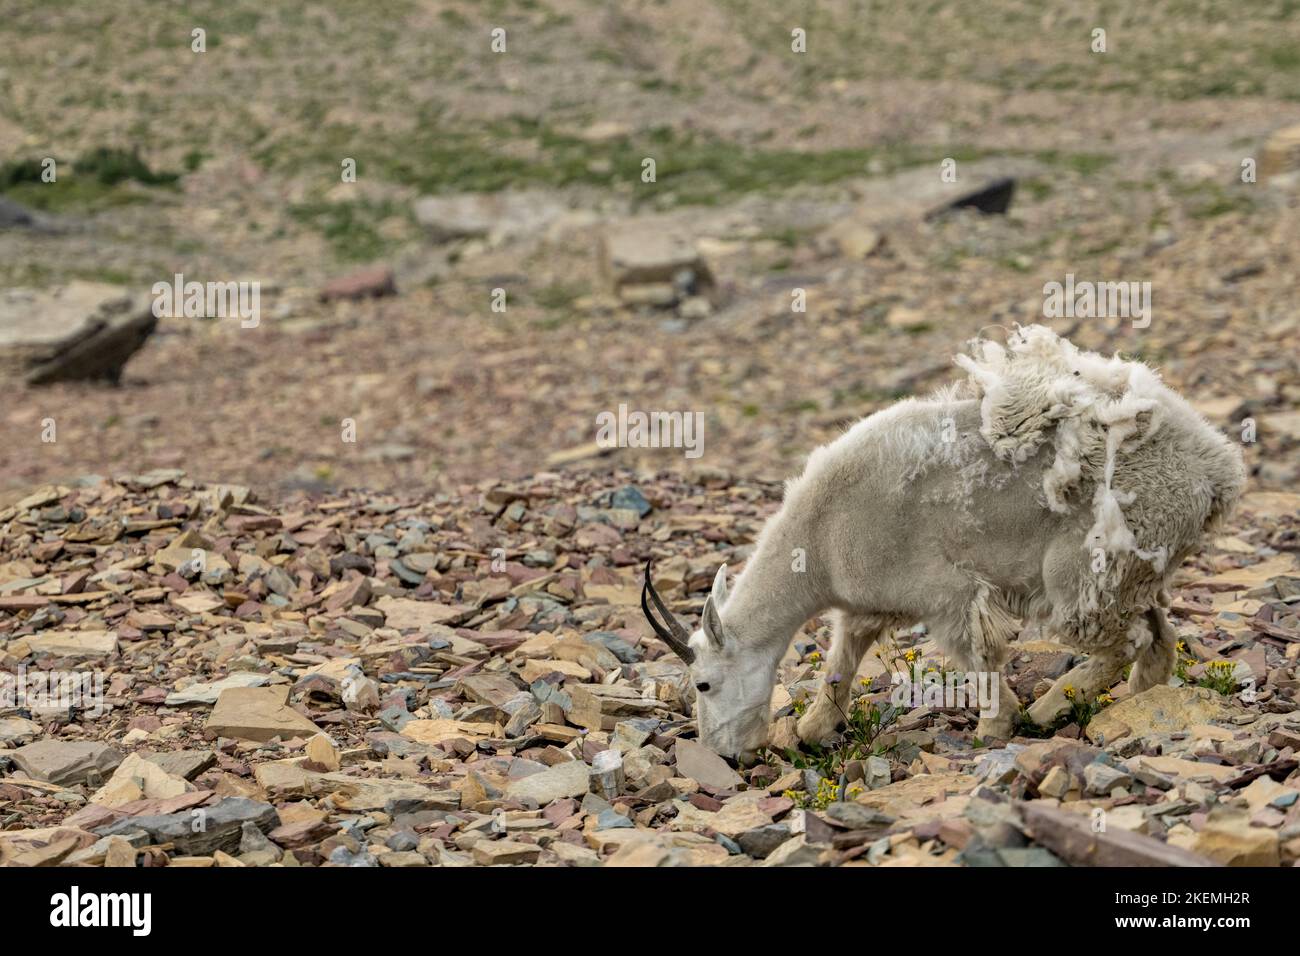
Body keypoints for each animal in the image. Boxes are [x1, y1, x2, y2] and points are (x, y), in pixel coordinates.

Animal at [643, 325, 1246, 760]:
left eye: (702, 685)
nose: (724, 755)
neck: (818, 542)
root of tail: (1217, 473)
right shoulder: (867, 602)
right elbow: (842, 660)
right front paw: (814, 731)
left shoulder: (945, 593)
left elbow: (977, 654)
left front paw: (996, 725)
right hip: (1135, 569)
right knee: (1158, 631)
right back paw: (1141, 699)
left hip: (1085, 569)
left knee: (1126, 638)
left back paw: (1051, 707)